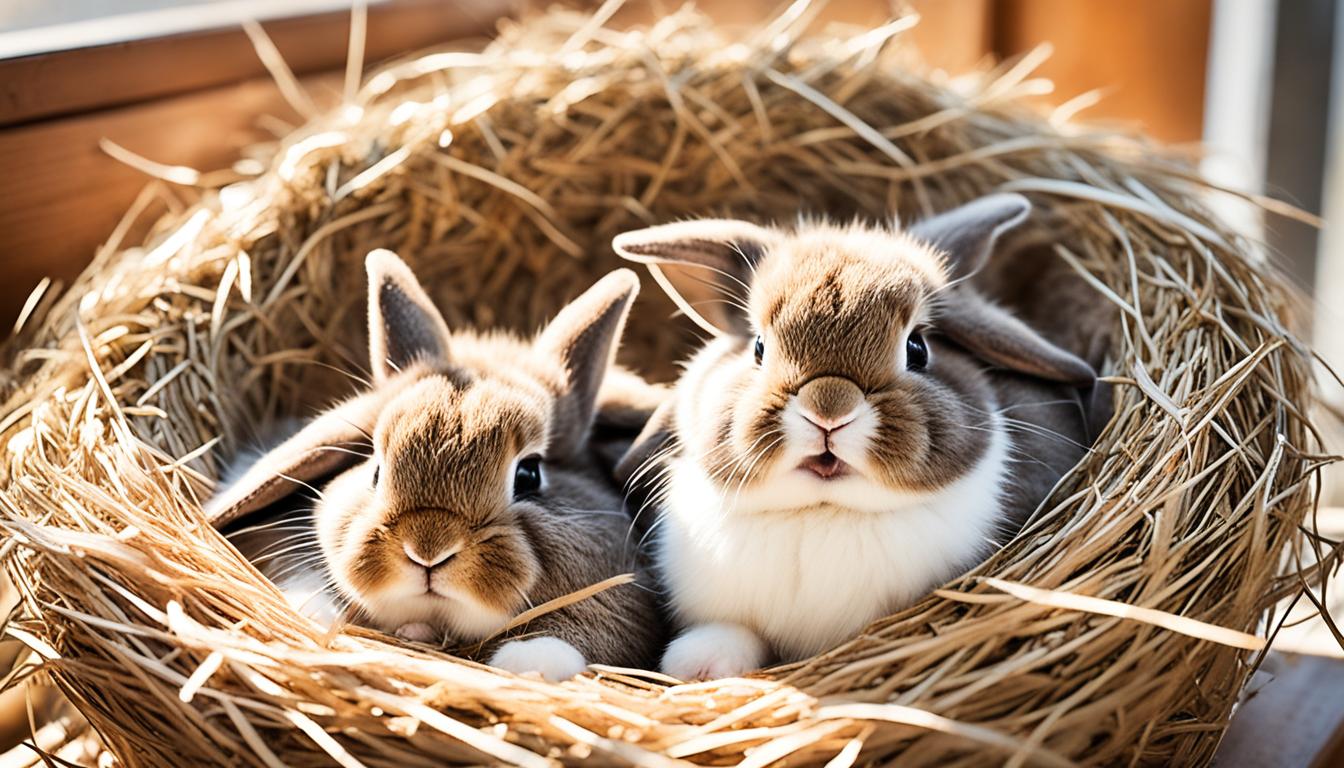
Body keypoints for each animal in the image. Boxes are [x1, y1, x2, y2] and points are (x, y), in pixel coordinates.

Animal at [611, 194, 1101, 680]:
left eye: (918, 348)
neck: (825, 513)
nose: (828, 410)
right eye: (758, 348)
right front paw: (697, 665)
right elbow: (730, 631)